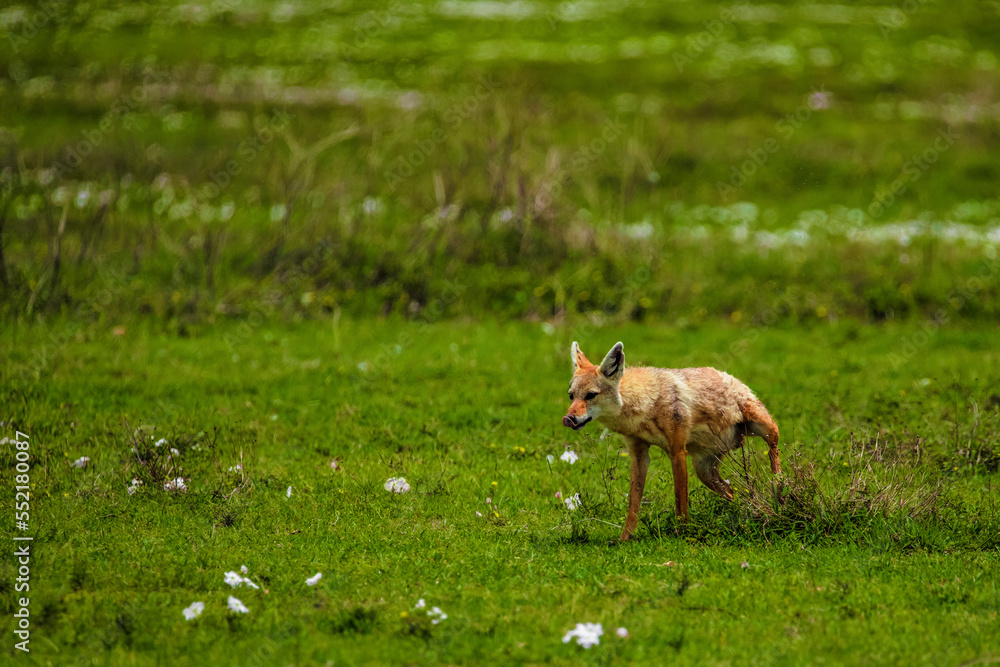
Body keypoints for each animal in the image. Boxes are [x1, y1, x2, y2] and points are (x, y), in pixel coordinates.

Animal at [563, 341, 780, 540]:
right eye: (572, 396)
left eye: (591, 395)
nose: (568, 419)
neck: (646, 406)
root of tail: (733, 378)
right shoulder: (639, 456)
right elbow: (633, 504)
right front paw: (625, 538)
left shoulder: (677, 451)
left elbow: (679, 499)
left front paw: (682, 532)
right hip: (704, 472)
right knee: (730, 492)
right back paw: (731, 515)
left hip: (765, 429)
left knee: (774, 451)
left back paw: (778, 488)